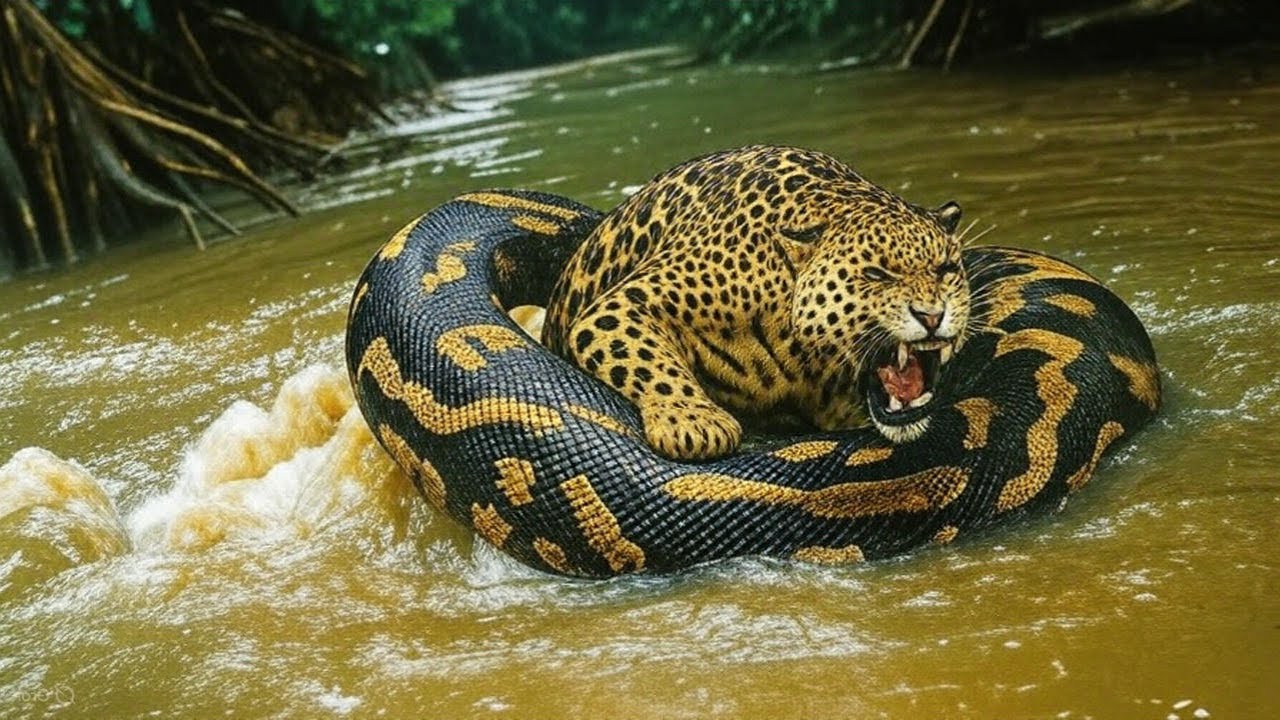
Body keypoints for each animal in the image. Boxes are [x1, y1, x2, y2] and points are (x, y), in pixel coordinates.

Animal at [542, 145, 970, 460]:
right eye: (877, 274)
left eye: (947, 269)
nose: (932, 316)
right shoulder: (624, 304)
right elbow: (646, 359)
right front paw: (694, 423)